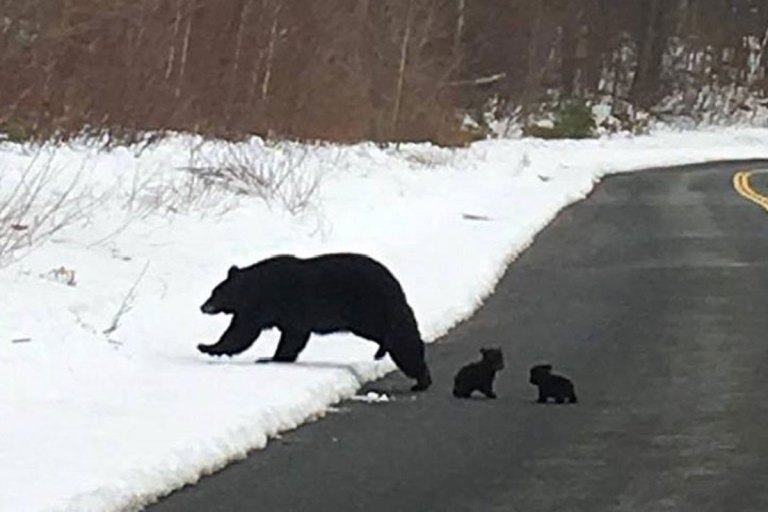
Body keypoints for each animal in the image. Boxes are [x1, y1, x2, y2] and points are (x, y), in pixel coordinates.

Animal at [197, 253, 432, 391]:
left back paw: (420, 378)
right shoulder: (286, 315)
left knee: (400, 337)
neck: (255, 286)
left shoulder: (269, 305)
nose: (203, 306)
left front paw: (208, 346)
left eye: (215, 292)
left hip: (369, 309)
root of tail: (395, 284)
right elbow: (291, 336)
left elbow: (242, 332)